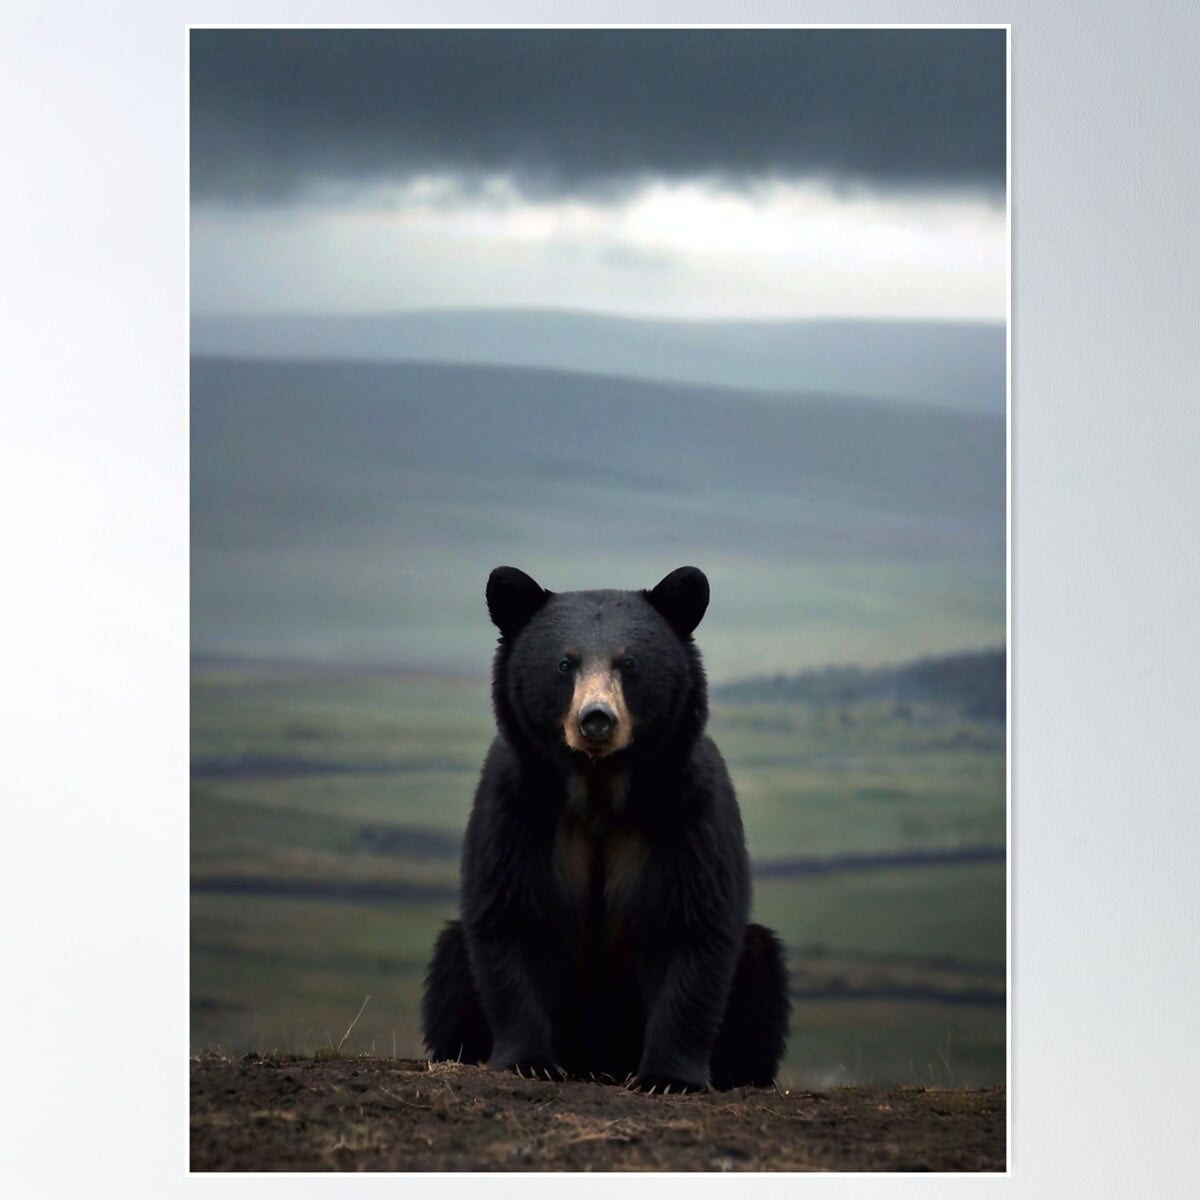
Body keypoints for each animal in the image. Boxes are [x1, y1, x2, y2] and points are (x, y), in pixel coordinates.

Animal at [421, 565, 790, 1091]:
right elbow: (511, 919)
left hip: (756, 960)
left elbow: (691, 926)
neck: (598, 783)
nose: (596, 720)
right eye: (564, 664)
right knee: (452, 962)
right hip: (456, 954)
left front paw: (668, 1077)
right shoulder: (517, 809)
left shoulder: (687, 811)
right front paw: (529, 1061)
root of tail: (598, 1064)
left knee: (761, 973)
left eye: (628, 663)